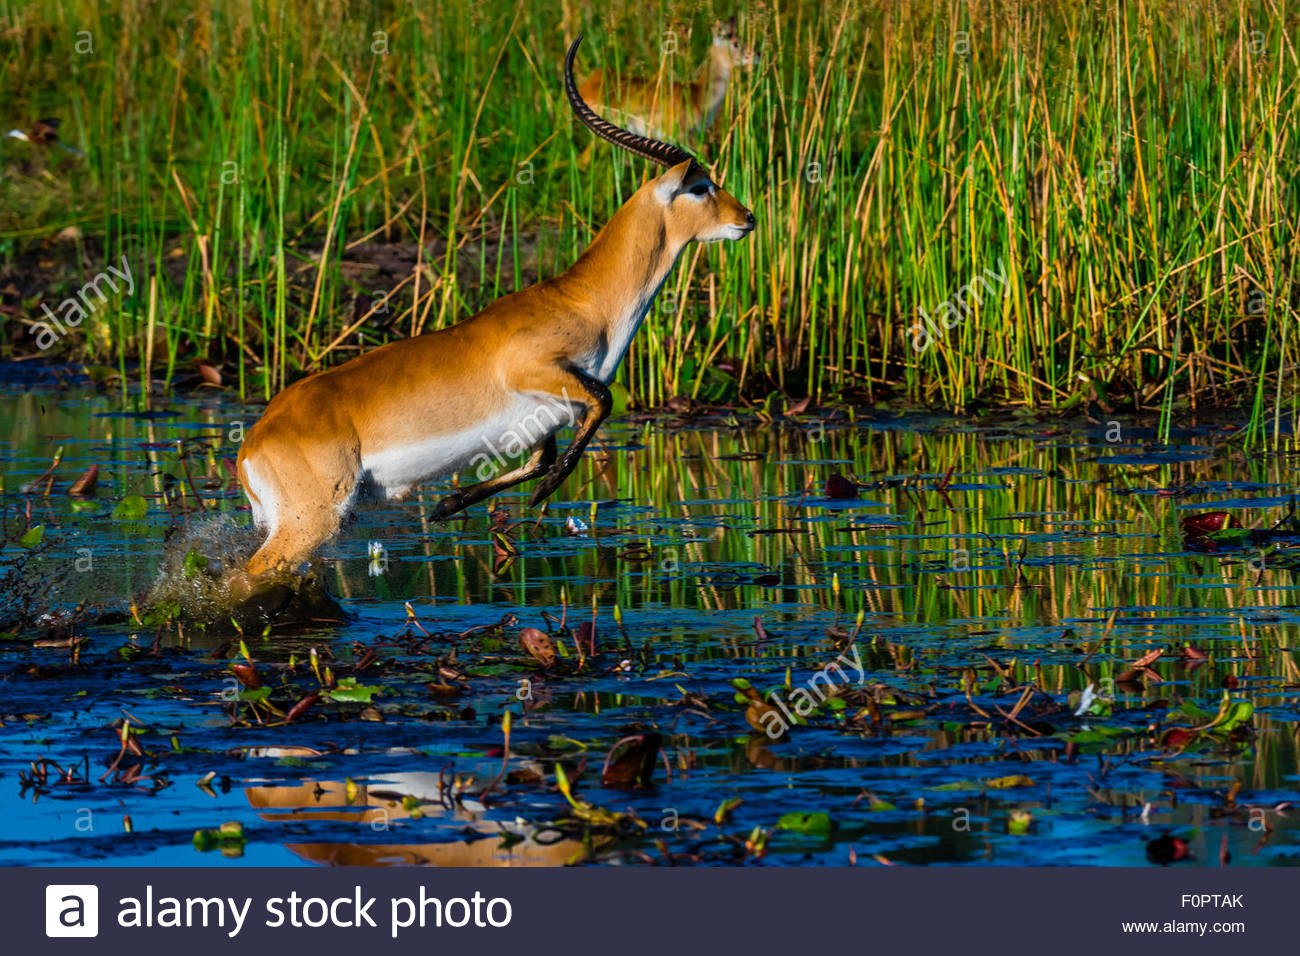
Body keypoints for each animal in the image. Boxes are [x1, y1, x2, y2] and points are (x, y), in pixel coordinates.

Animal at [234, 35, 754, 578]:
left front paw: (447, 506)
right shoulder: (539, 371)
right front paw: (538, 496)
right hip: (310, 523)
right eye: (700, 186)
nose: (748, 217)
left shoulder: (543, 419)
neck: (583, 300)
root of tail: (253, 442)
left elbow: (544, 455)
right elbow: (602, 402)